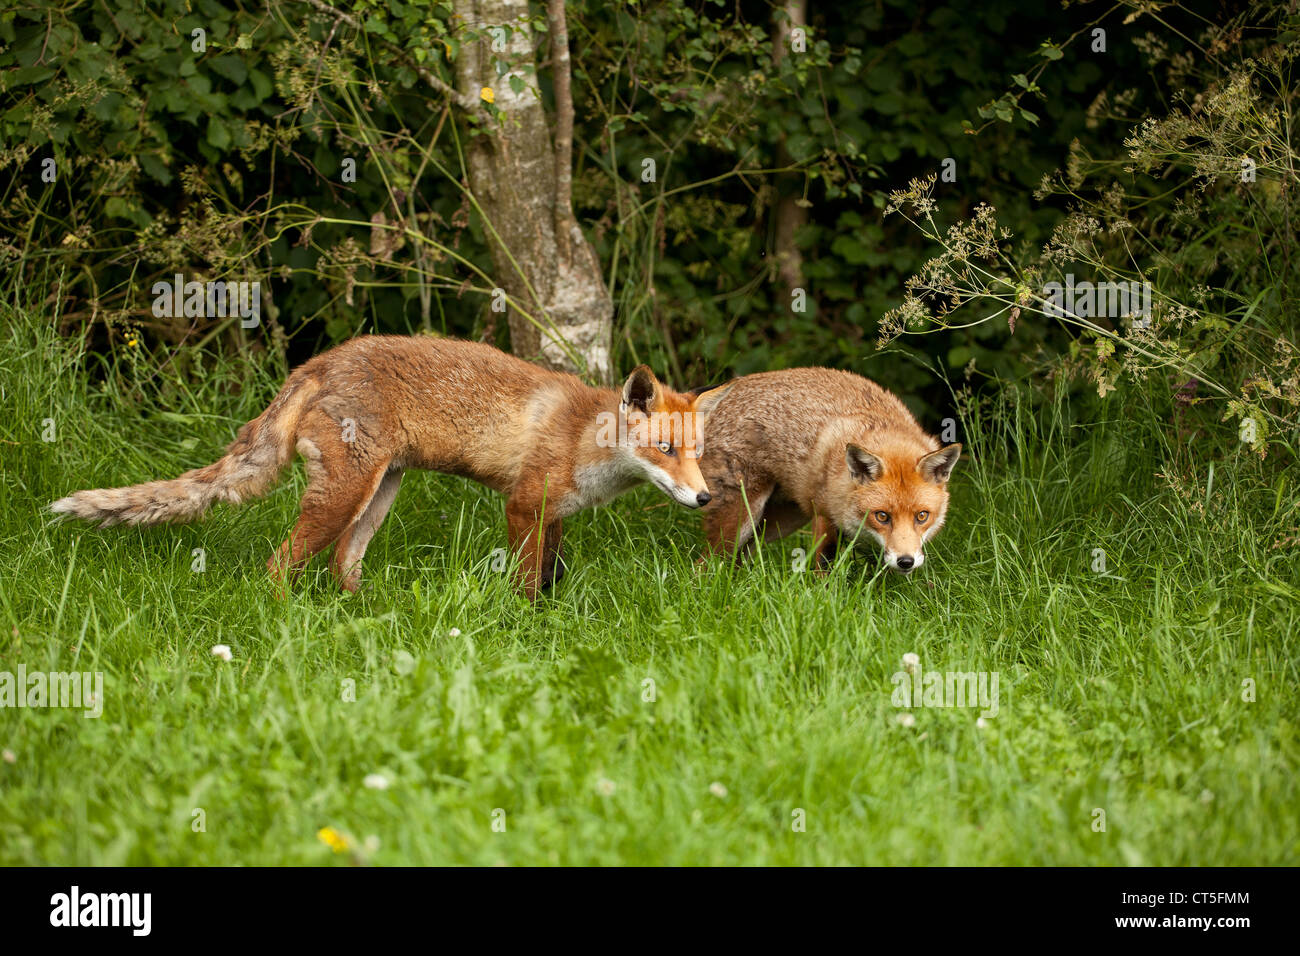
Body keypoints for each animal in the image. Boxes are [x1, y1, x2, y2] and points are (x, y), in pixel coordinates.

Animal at [50, 335, 730, 599]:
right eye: (665, 451)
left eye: (696, 454)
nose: (704, 500)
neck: (586, 440)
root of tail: (319, 361)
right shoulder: (522, 504)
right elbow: (525, 583)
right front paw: (526, 627)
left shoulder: (553, 513)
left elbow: (551, 576)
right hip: (344, 494)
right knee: (280, 565)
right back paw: (282, 618)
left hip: (380, 494)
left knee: (340, 564)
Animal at [695, 367, 961, 574]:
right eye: (882, 516)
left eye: (922, 516)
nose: (906, 562)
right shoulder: (824, 513)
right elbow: (823, 566)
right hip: (744, 517)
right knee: (706, 562)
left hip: (781, 521)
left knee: (739, 558)